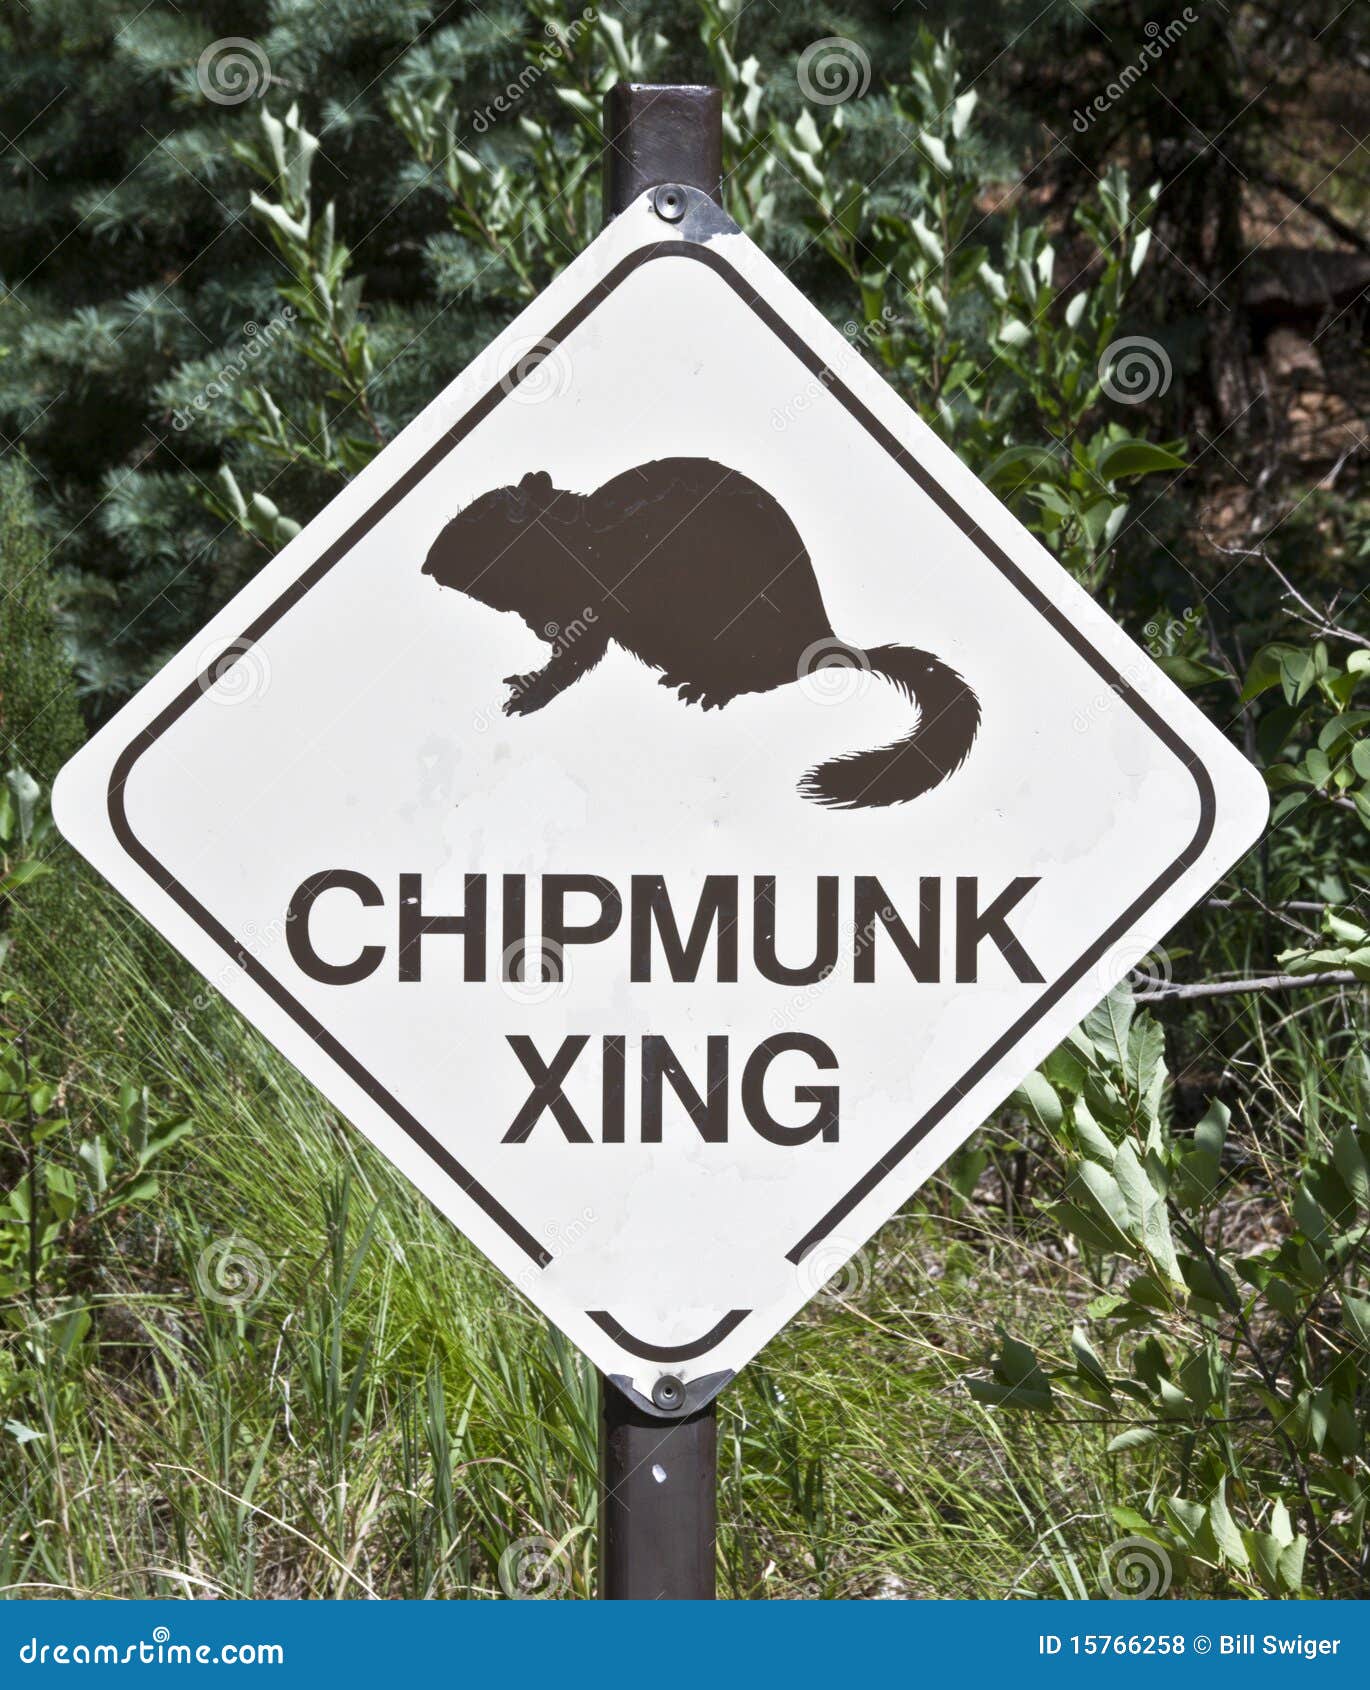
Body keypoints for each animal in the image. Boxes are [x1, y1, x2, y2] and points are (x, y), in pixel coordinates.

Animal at [421, 457, 980, 810]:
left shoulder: (593, 608)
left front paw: (523, 696)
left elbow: (575, 657)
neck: (575, 541)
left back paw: (701, 689)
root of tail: (822, 643)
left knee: (751, 681)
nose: (427, 566)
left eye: (484, 520)